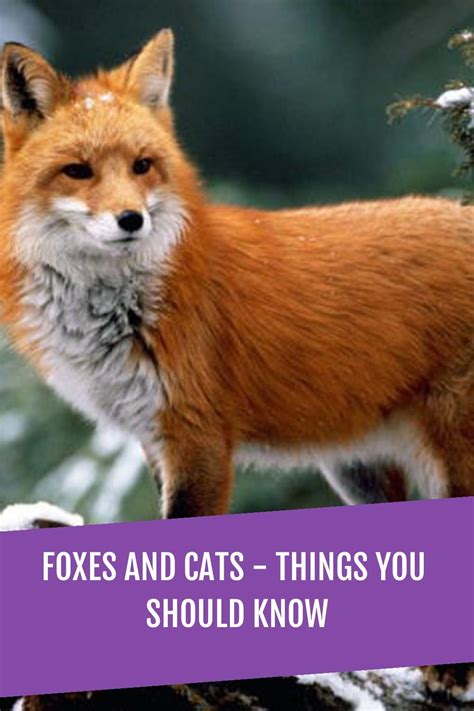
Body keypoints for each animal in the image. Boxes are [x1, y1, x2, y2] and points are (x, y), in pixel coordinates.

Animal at [0, 29, 473, 525]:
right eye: (77, 171)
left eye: (141, 165)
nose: (131, 220)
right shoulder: (153, 437)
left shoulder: (199, 437)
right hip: (358, 471)